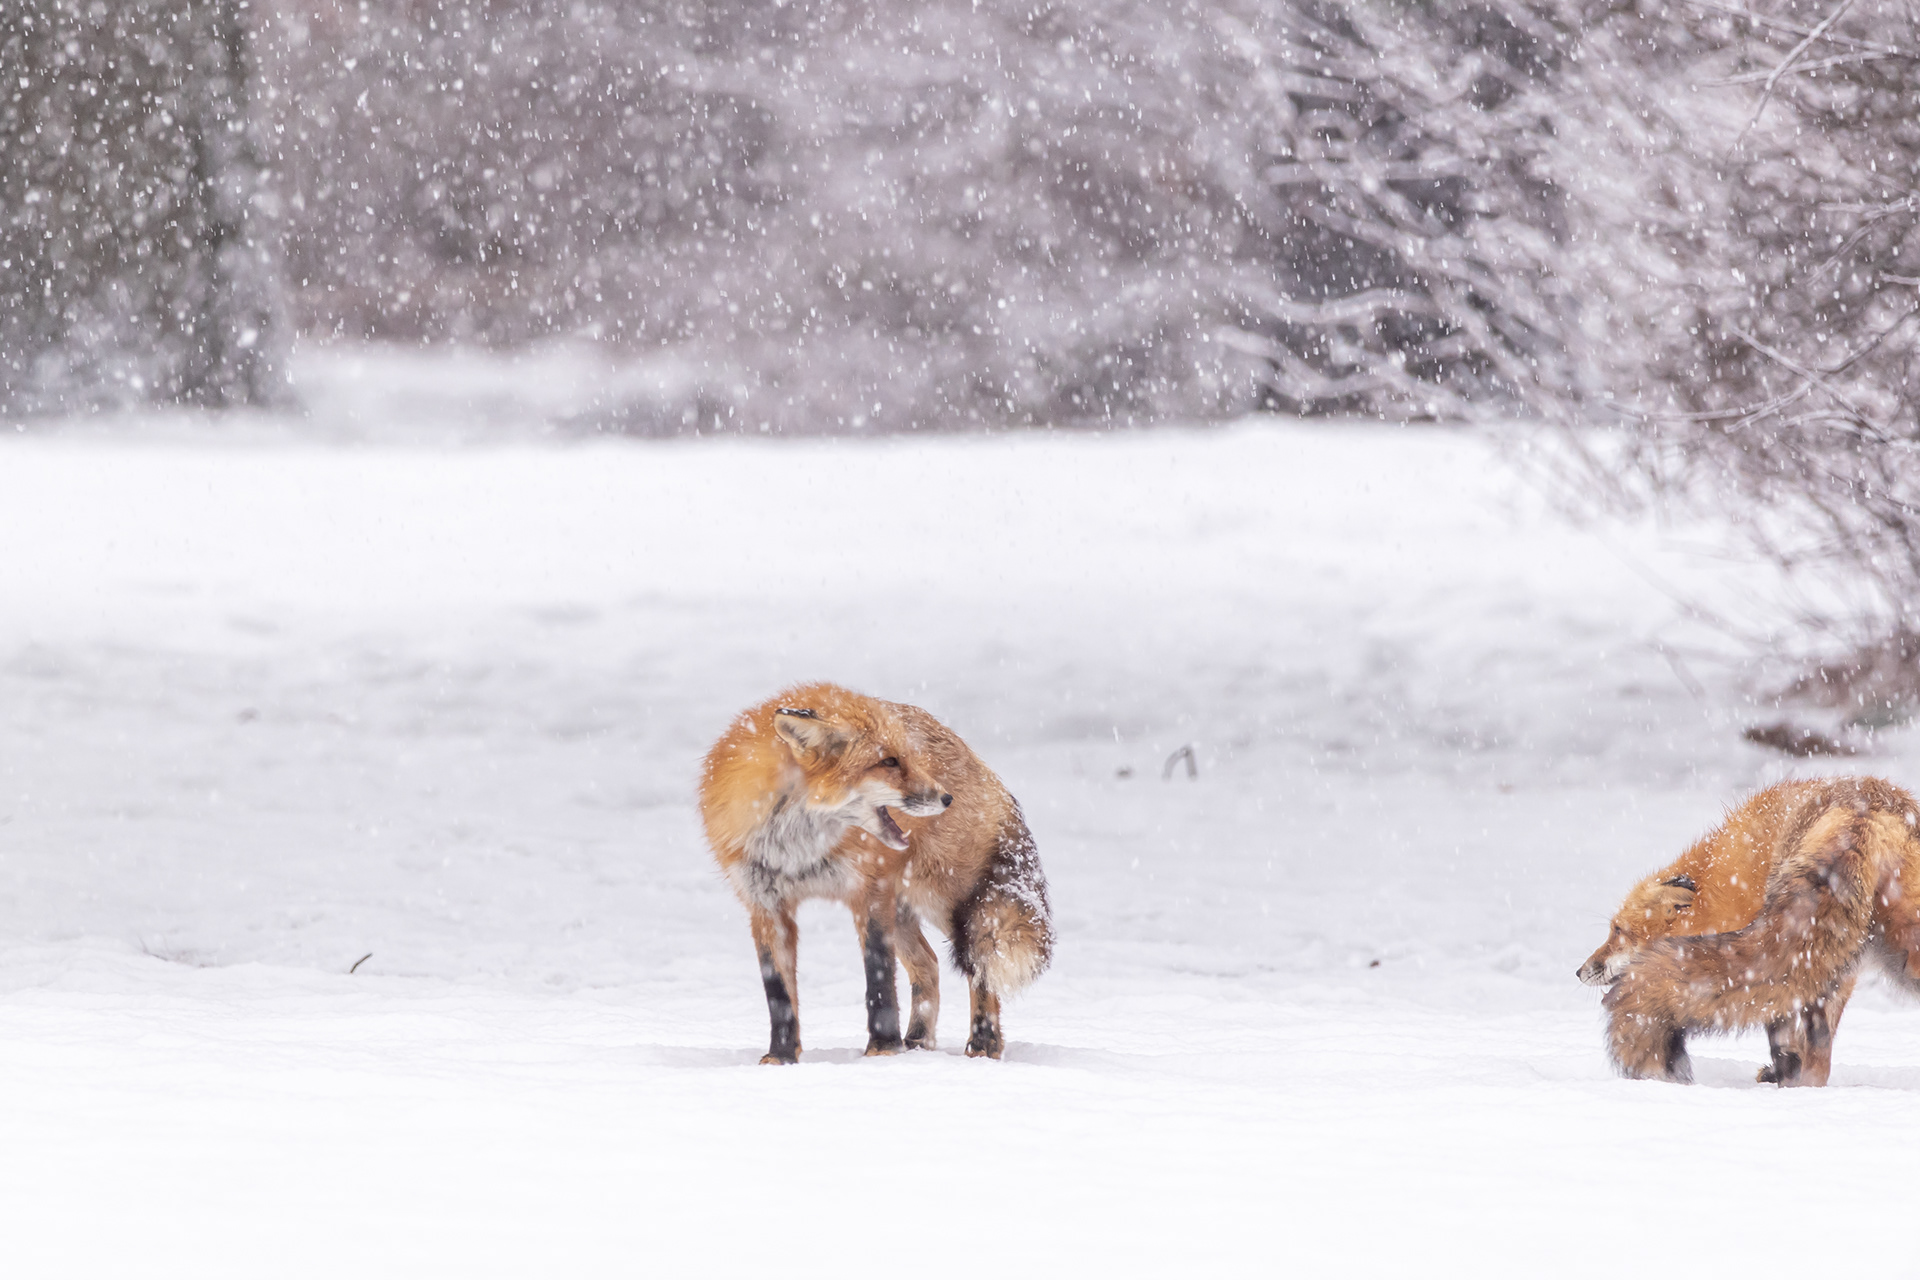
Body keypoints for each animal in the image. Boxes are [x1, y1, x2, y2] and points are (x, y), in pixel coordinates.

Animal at [699, 683, 1053, 1064]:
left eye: (907, 758)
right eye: (889, 762)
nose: (946, 798)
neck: (797, 848)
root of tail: (976, 760)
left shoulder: (870, 891)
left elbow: (879, 978)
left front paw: (882, 1049)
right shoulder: (764, 905)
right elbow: (777, 991)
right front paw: (781, 1056)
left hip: (943, 899)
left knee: (982, 960)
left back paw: (984, 1043)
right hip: (904, 910)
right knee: (929, 964)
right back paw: (918, 1040)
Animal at [1595, 776, 1920, 1085]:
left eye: (1617, 931)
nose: (1585, 970)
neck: (1715, 883)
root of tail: (1868, 811)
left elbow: (1779, 1031)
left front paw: (1783, 1071)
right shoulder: (1832, 970)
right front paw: (1784, 1072)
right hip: (1898, 959)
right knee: (1821, 1054)